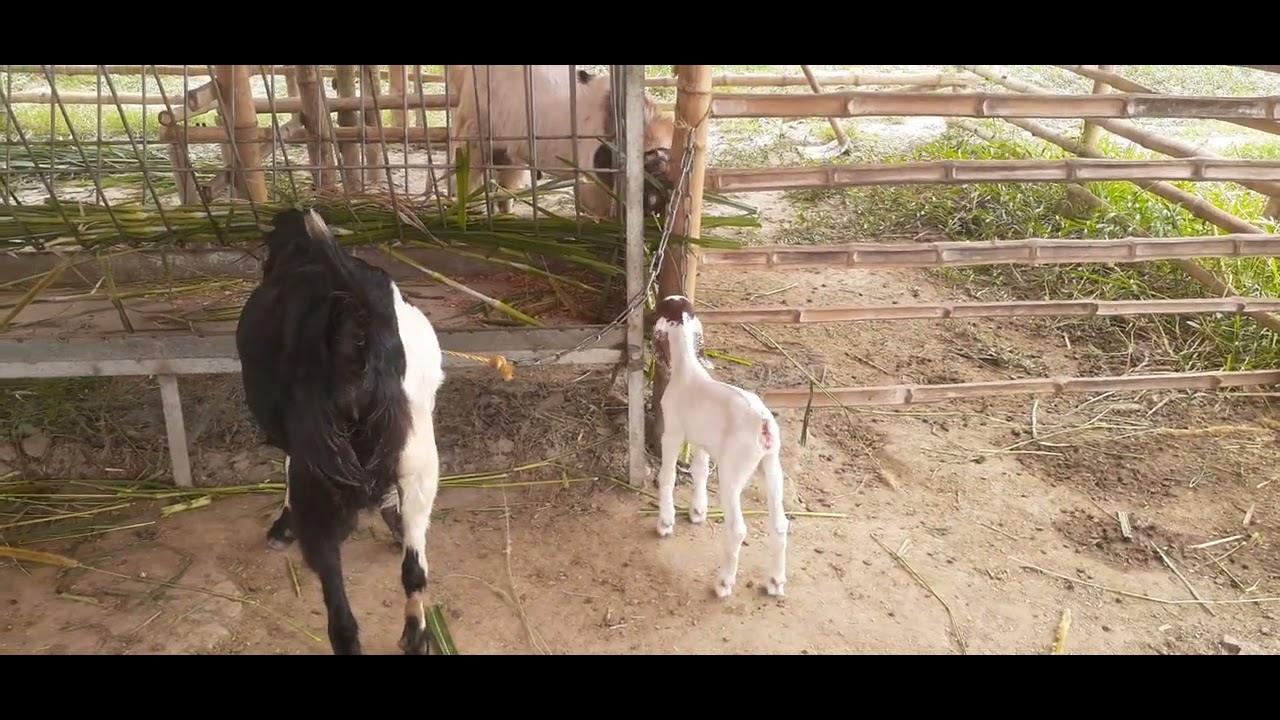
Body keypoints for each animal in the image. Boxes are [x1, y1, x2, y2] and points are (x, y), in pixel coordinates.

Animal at [236, 208, 445, 655]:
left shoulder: (297, 448)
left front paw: (281, 529)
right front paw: (392, 524)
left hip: (321, 479)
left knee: (340, 615)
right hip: (420, 460)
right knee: (414, 569)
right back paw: (416, 635)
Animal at [447, 65, 674, 220]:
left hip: (509, 148)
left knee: (507, 179)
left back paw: (507, 215)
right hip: (472, 126)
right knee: (465, 167)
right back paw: (470, 211)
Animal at [650, 295, 789, 599]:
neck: (688, 372)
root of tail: (763, 425)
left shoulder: (674, 432)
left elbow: (667, 475)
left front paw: (665, 522)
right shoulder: (701, 441)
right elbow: (700, 471)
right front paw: (698, 512)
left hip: (732, 472)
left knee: (737, 529)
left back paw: (724, 584)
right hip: (772, 466)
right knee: (780, 524)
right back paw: (775, 581)